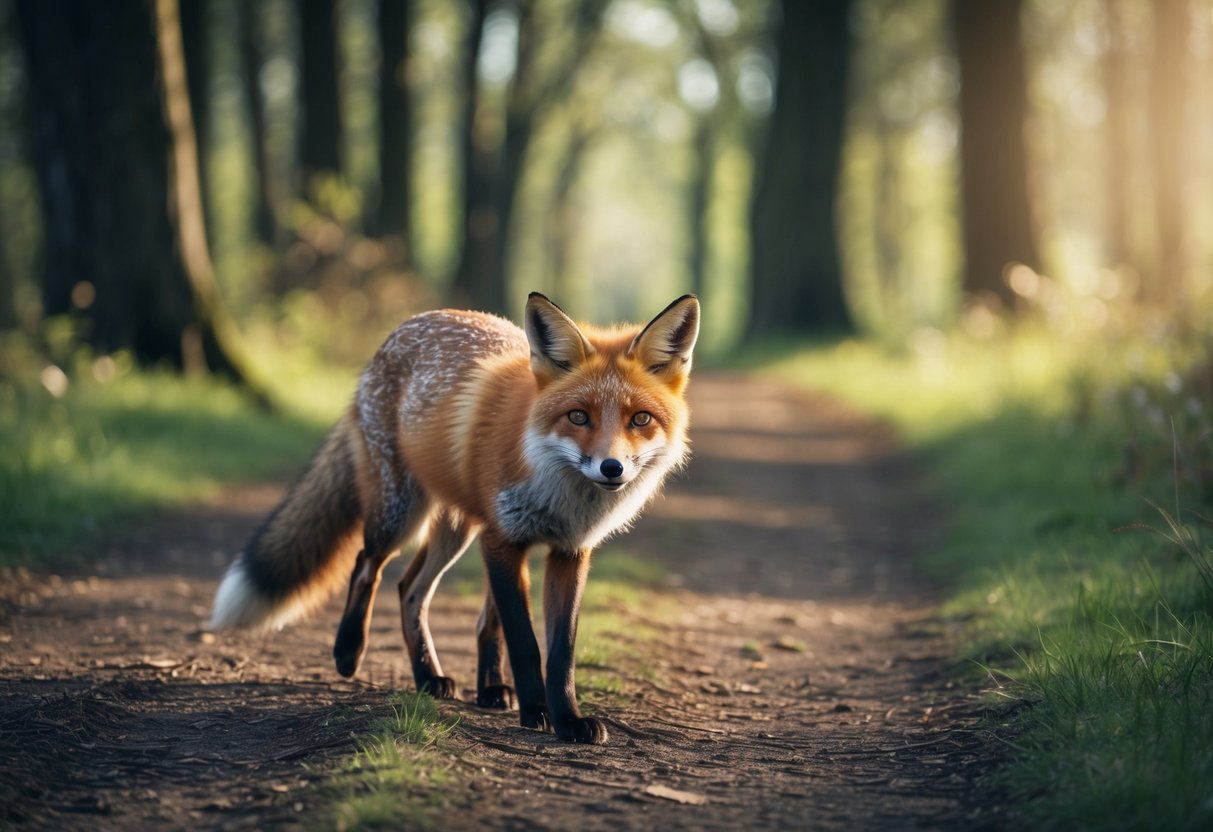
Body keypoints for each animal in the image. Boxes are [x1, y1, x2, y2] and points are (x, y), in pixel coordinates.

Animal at [210, 292, 699, 744]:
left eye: (640, 419)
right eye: (578, 416)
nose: (611, 468)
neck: (558, 491)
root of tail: (412, 322)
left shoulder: (567, 551)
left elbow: (560, 652)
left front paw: (567, 720)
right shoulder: (503, 541)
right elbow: (525, 642)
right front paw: (536, 713)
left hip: (462, 530)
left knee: (416, 592)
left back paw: (452, 681)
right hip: (401, 514)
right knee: (367, 566)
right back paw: (350, 652)